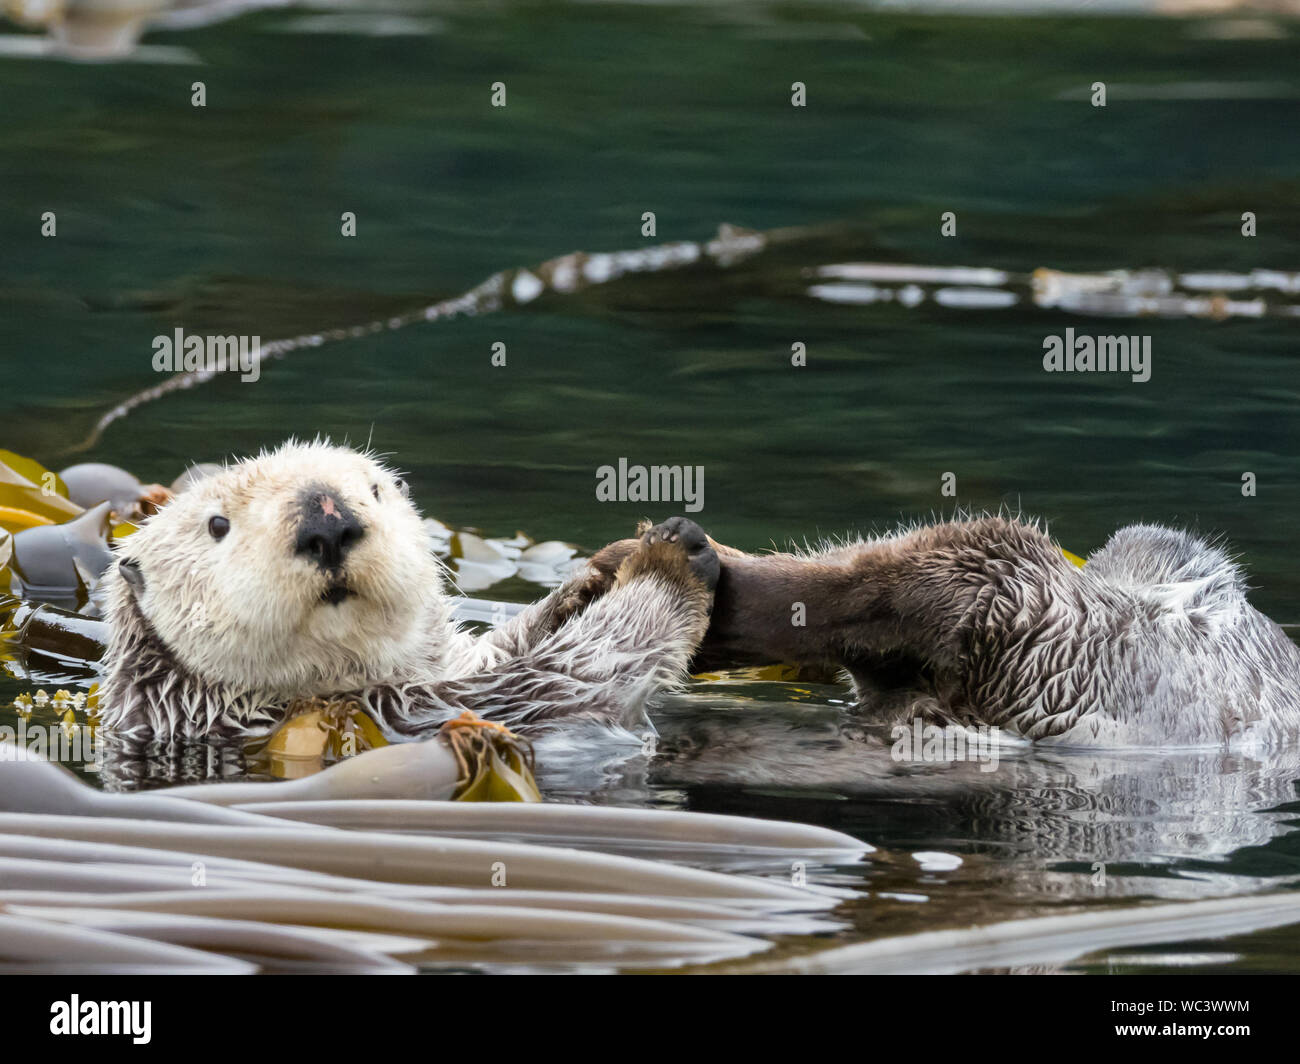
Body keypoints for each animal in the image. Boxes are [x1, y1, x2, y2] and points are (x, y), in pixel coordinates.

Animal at [98, 440, 719, 741]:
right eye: (216, 525)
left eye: (374, 491)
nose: (326, 522)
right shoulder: (436, 709)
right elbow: (586, 669)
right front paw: (667, 559)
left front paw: (597, 572)